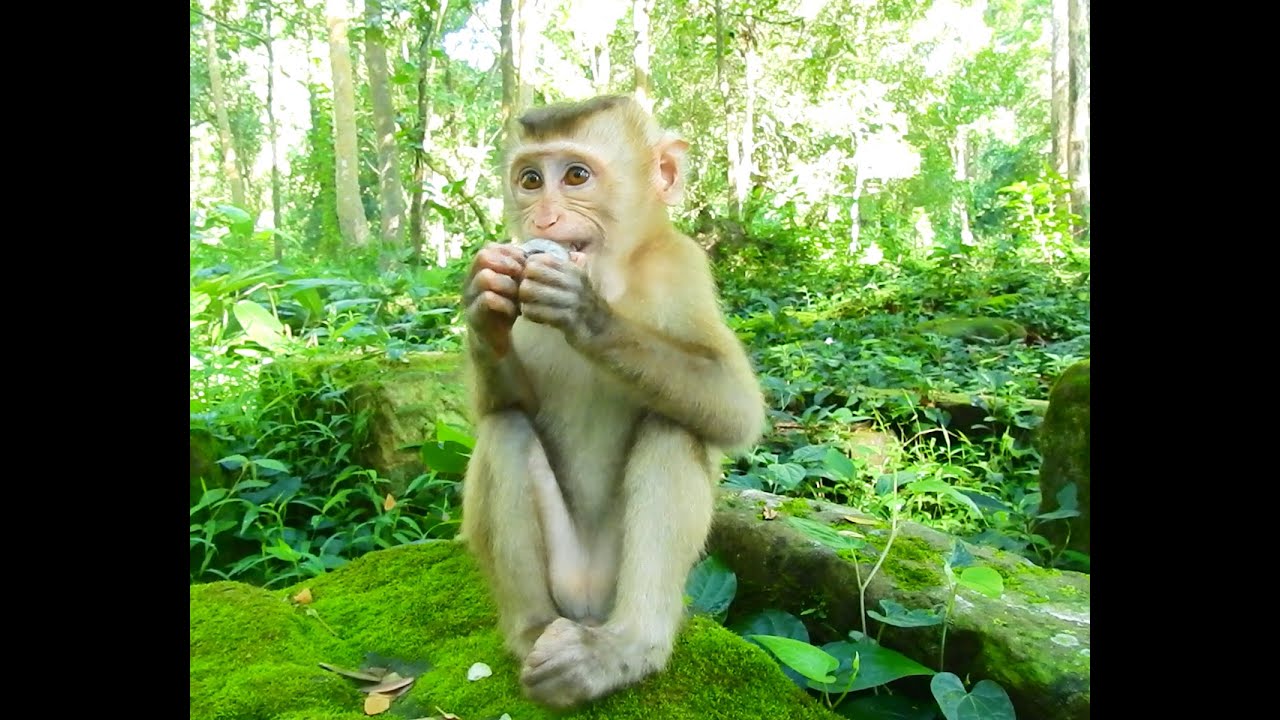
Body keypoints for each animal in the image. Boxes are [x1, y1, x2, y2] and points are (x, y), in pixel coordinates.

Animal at [458, 94, 765, 709]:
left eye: (576, 176)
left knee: (676, 427)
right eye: (531, 180)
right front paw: (484, 301)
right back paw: (531, 630)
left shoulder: (683, 266)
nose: (543, 220)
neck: (612, 275)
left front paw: (585, 313)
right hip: (563, 574)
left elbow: (735, 408)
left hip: (613, 583)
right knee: (504, 427)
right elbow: (506, 402)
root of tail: (586, 604)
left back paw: (623, 650)